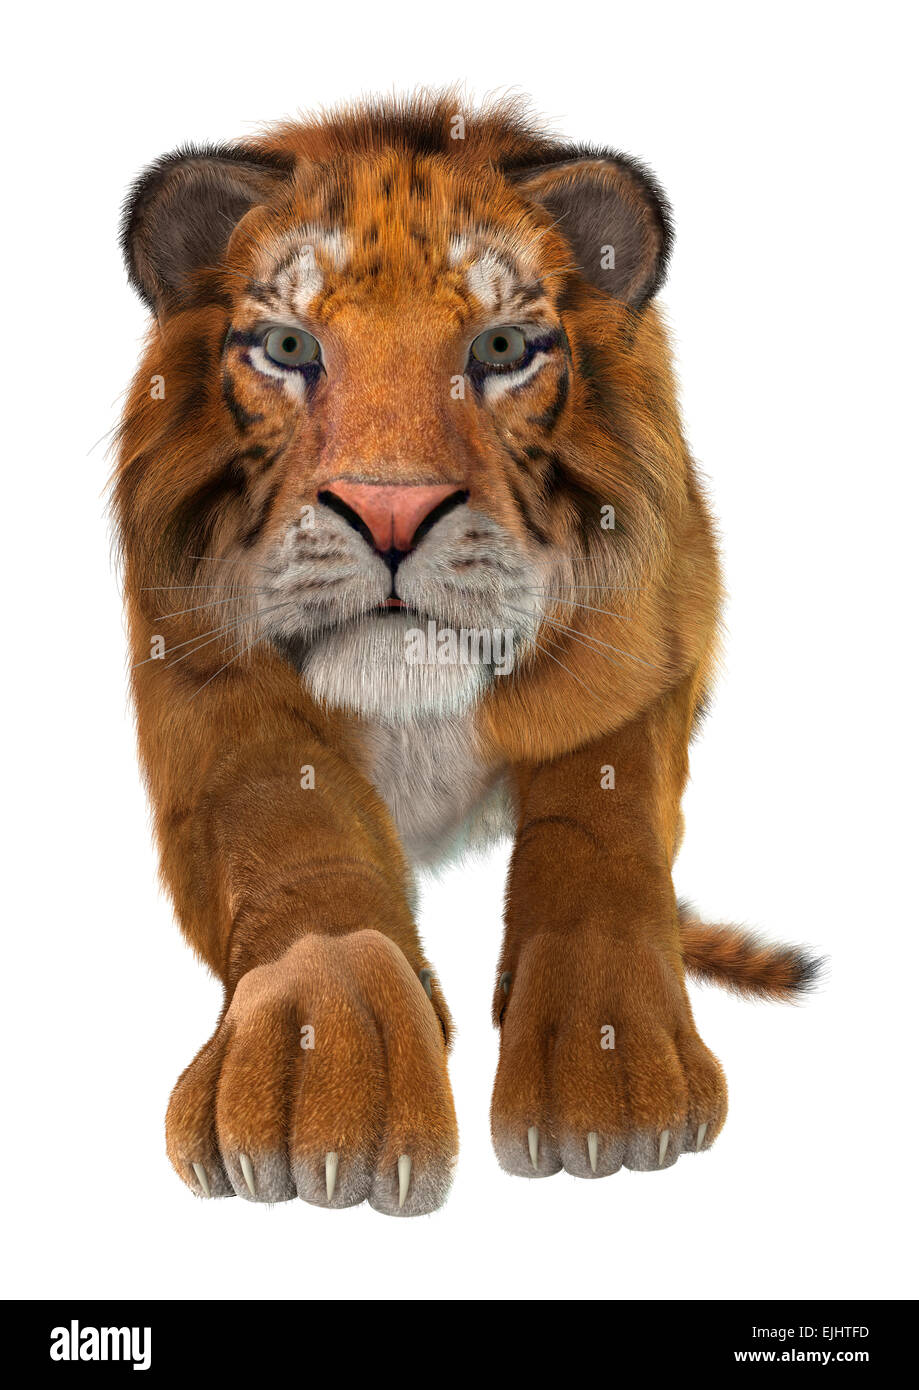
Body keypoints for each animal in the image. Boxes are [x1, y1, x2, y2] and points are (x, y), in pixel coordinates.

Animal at [114, 91, 820, 1216]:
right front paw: (318, 1070)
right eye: (288, 345)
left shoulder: (632, 673)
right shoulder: (209, 689)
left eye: (499, 348)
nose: (391, 514)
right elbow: (294, 847)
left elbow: (598, 842)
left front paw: (609, 1068)